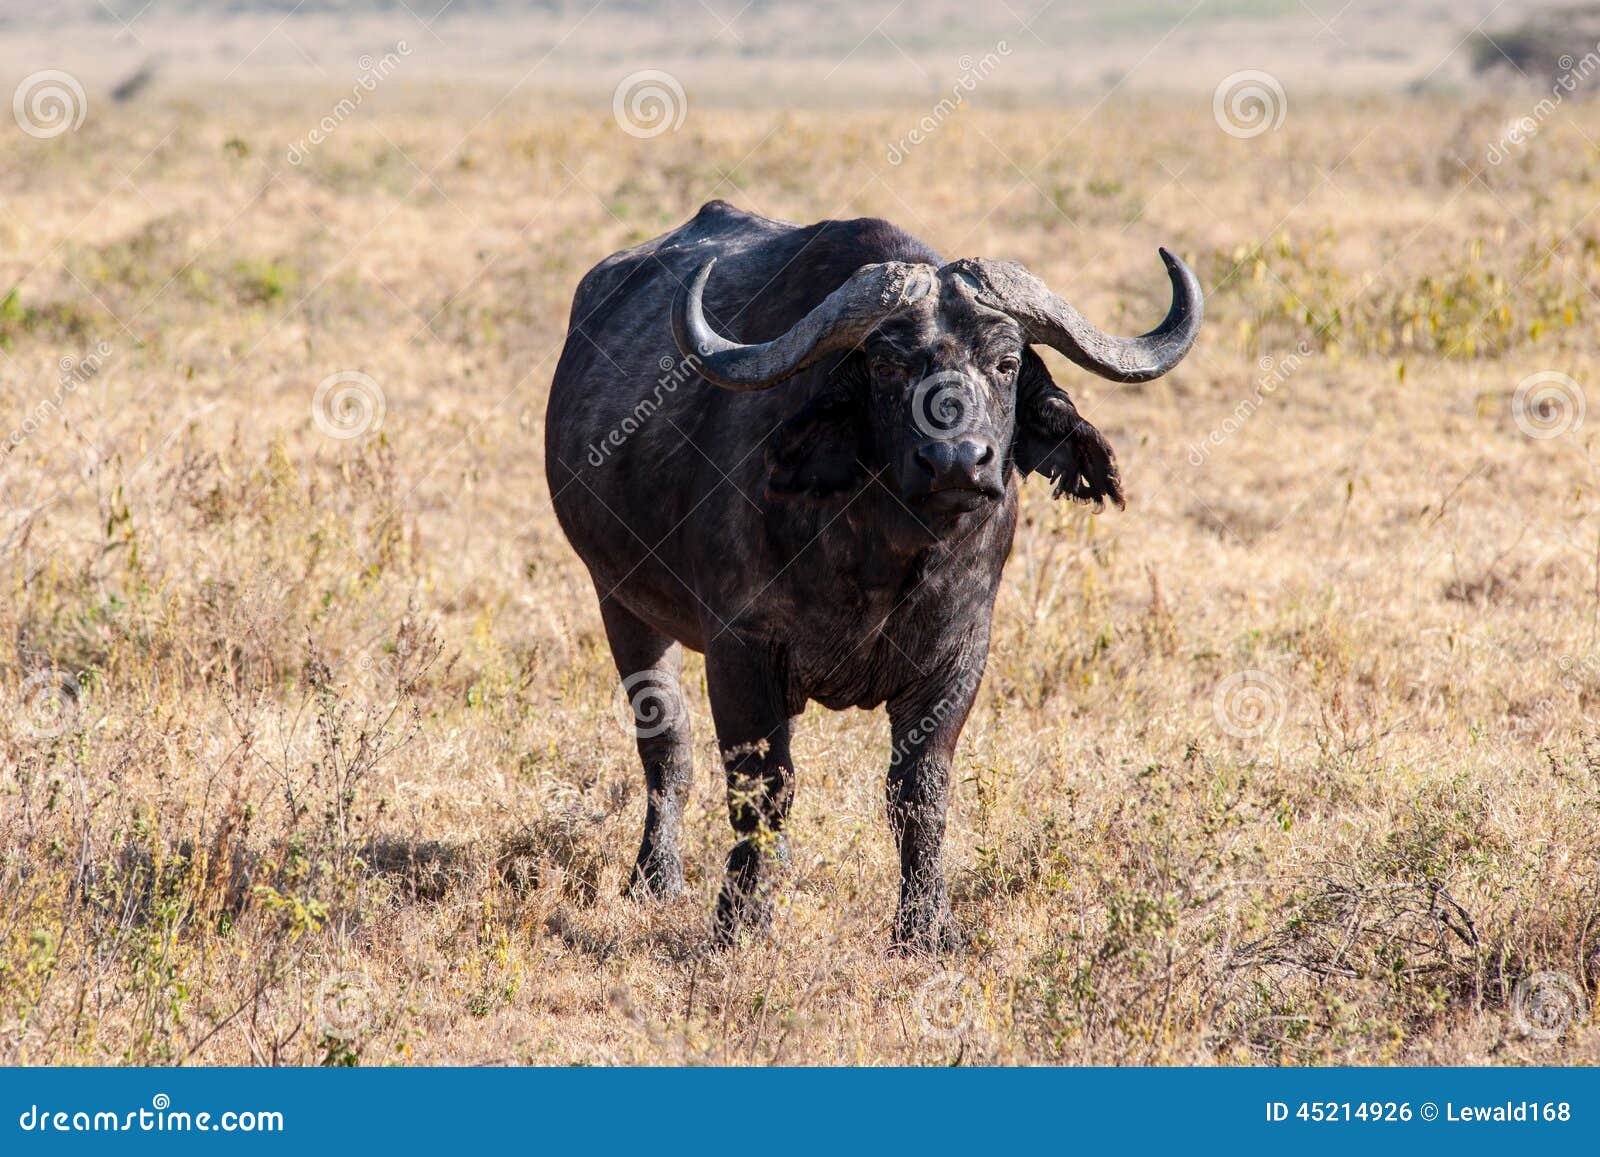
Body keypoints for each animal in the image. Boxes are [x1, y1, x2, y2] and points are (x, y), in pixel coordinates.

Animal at [545, 200, 1201, 949]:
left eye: (1006, 363)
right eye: (887, 366)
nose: (956, 460)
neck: (885, 559)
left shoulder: (958, 657)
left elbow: (919, 792)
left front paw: (926, 926)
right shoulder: (740, 650)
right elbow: (762, 788)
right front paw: (741, 920)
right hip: (621, 602)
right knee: (666, 748)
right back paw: (656, 877)